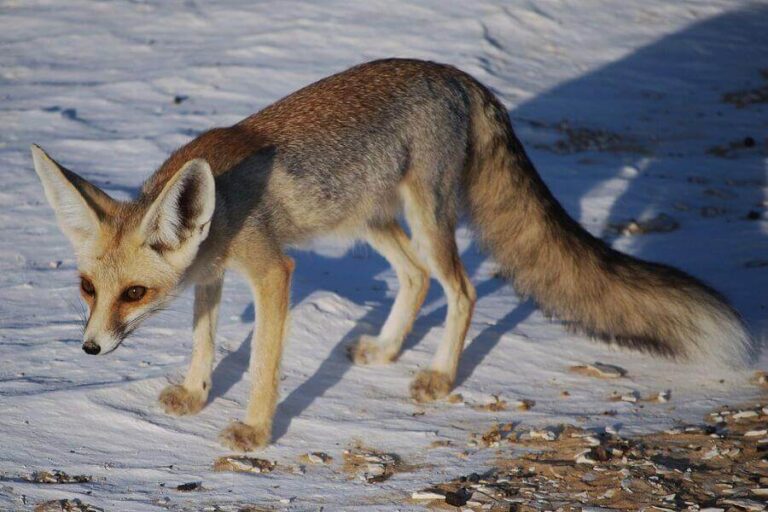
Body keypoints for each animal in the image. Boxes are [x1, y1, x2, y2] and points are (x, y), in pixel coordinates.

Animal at [31, 58, 754, 451]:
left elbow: (263, 366)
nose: (90, 348)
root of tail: (459, 75)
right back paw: (385, 349)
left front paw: (257, 432)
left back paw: (438, 375)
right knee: (415, 280)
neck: (223, 206)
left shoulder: (271, 270)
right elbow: (204, 342)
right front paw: (195, 392)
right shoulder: (211, 276)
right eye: (88, 289)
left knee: (460, 289)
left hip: (426, 217)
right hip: (373, 221)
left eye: (134, 294)